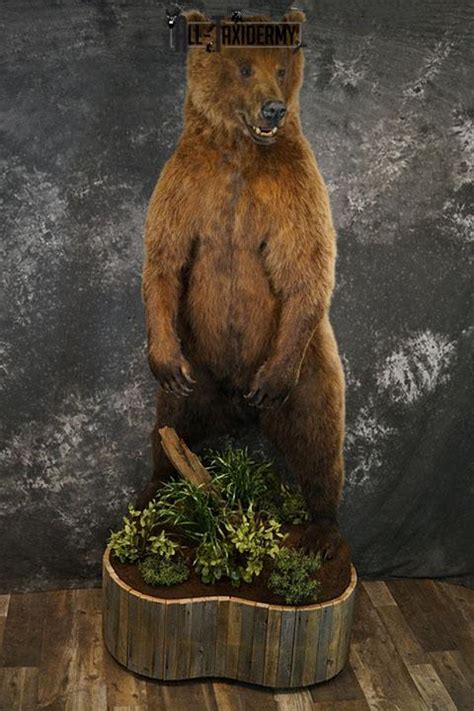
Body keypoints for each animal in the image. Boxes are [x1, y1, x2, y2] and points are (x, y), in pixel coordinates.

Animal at [139, 9, 345, 559]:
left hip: (308, 367)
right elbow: (164, 260)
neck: (239, 152)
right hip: (195, 366)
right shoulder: (185, 184)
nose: (274, 108)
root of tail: (233, 400)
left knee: (319, 440)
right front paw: (160, 358)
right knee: (168, 431)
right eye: (246, 67)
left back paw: (321, 531)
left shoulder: (296, 188)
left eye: (282, 68)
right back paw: (151, 505)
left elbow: (308, 266)